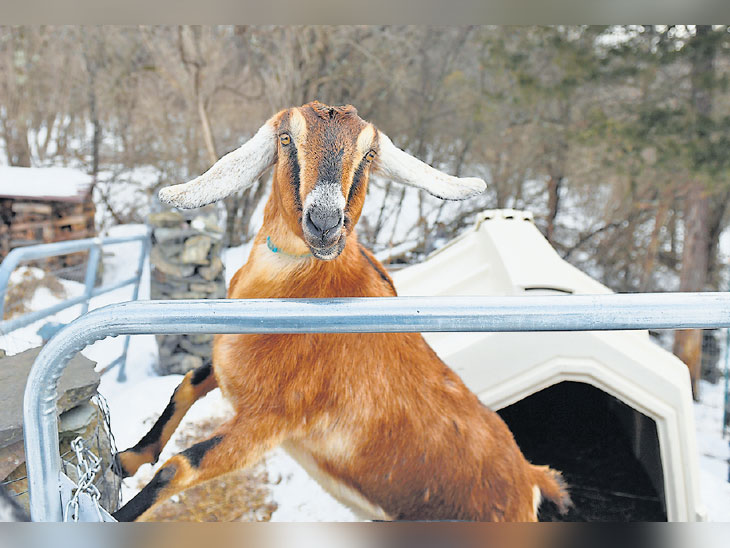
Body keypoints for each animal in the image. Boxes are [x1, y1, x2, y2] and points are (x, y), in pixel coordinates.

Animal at [112, 101, 570, 522]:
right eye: (286, 139)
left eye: (368, 154)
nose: (325, 223)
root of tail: (530, 479)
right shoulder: (228, 372)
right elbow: (186, 384)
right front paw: (125, 460)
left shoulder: (267, 422)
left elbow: (178, 469)